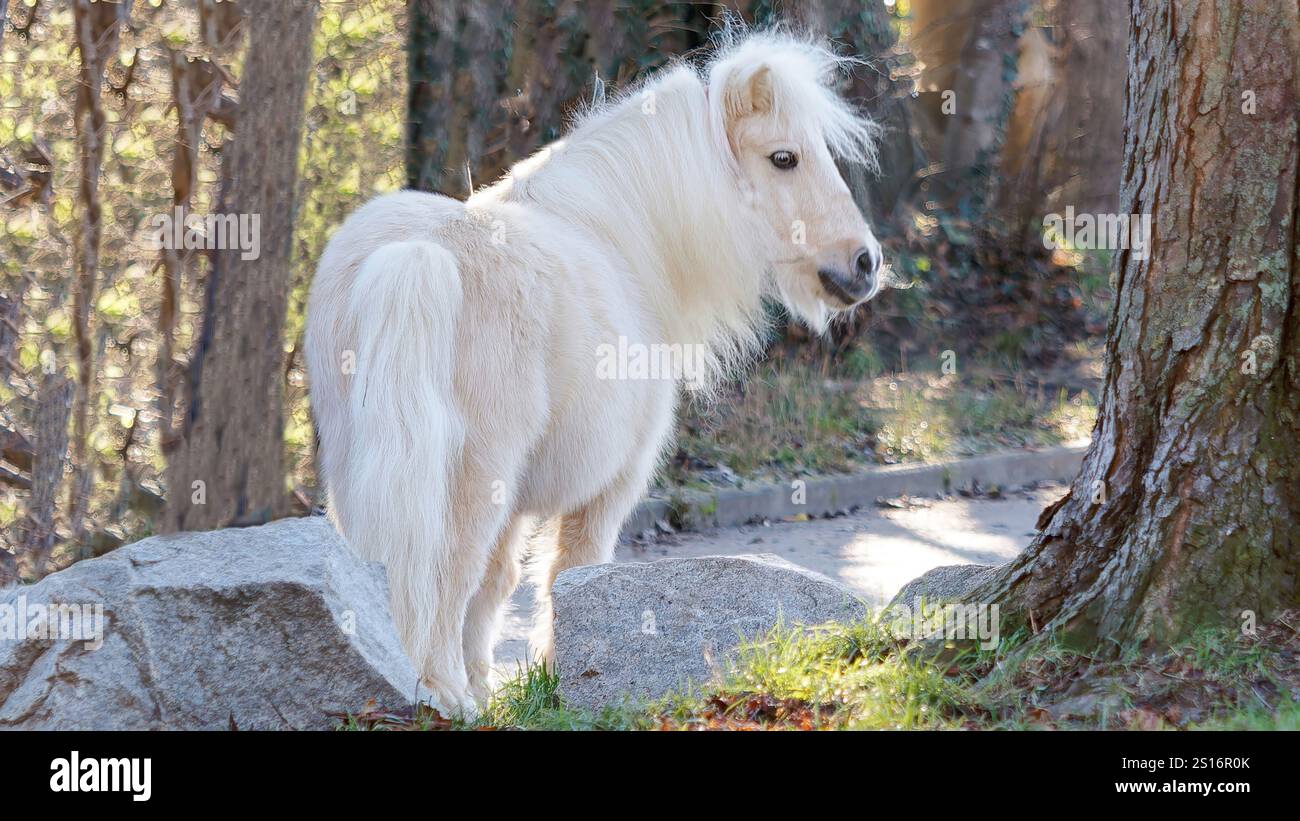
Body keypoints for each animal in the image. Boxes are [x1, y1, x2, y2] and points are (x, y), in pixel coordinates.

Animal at [305, 28, 887, 714]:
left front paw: (495, 688)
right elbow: (568, 576)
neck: (623, 242)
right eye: (784, 158)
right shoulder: (608, 488)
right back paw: (448, 698)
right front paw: (553, 681)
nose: (865, 262)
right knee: (443, 577)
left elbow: (499, 586)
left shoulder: (520, 501)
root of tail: (416, 259)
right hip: (473, 482)